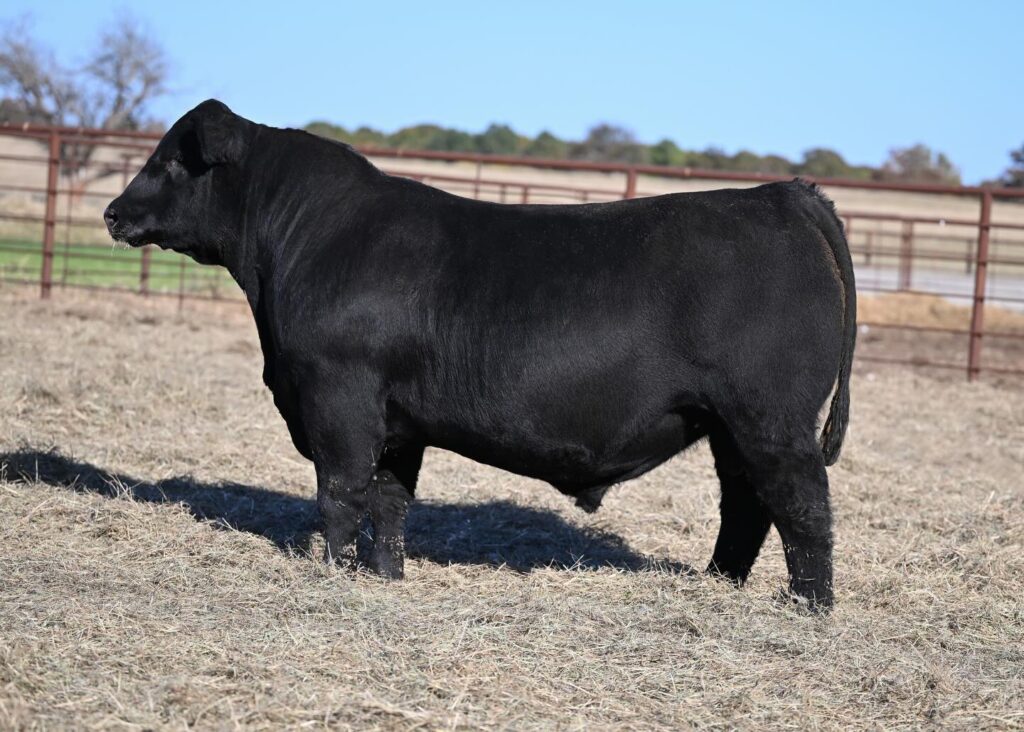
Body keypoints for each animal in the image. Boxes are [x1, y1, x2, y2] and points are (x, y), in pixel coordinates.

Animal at [105, 100, 855, 610]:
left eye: (170, 160)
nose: (113, 212)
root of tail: (782, 195)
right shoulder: (397, 419)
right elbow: (390, 500)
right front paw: (386, 576)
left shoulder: (338, 395)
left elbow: (340, 491)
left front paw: (335, 573)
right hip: (731, 425)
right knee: (747, 504)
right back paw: (720, 585)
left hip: (771, 419)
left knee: (803, 506)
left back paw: (807, 608)